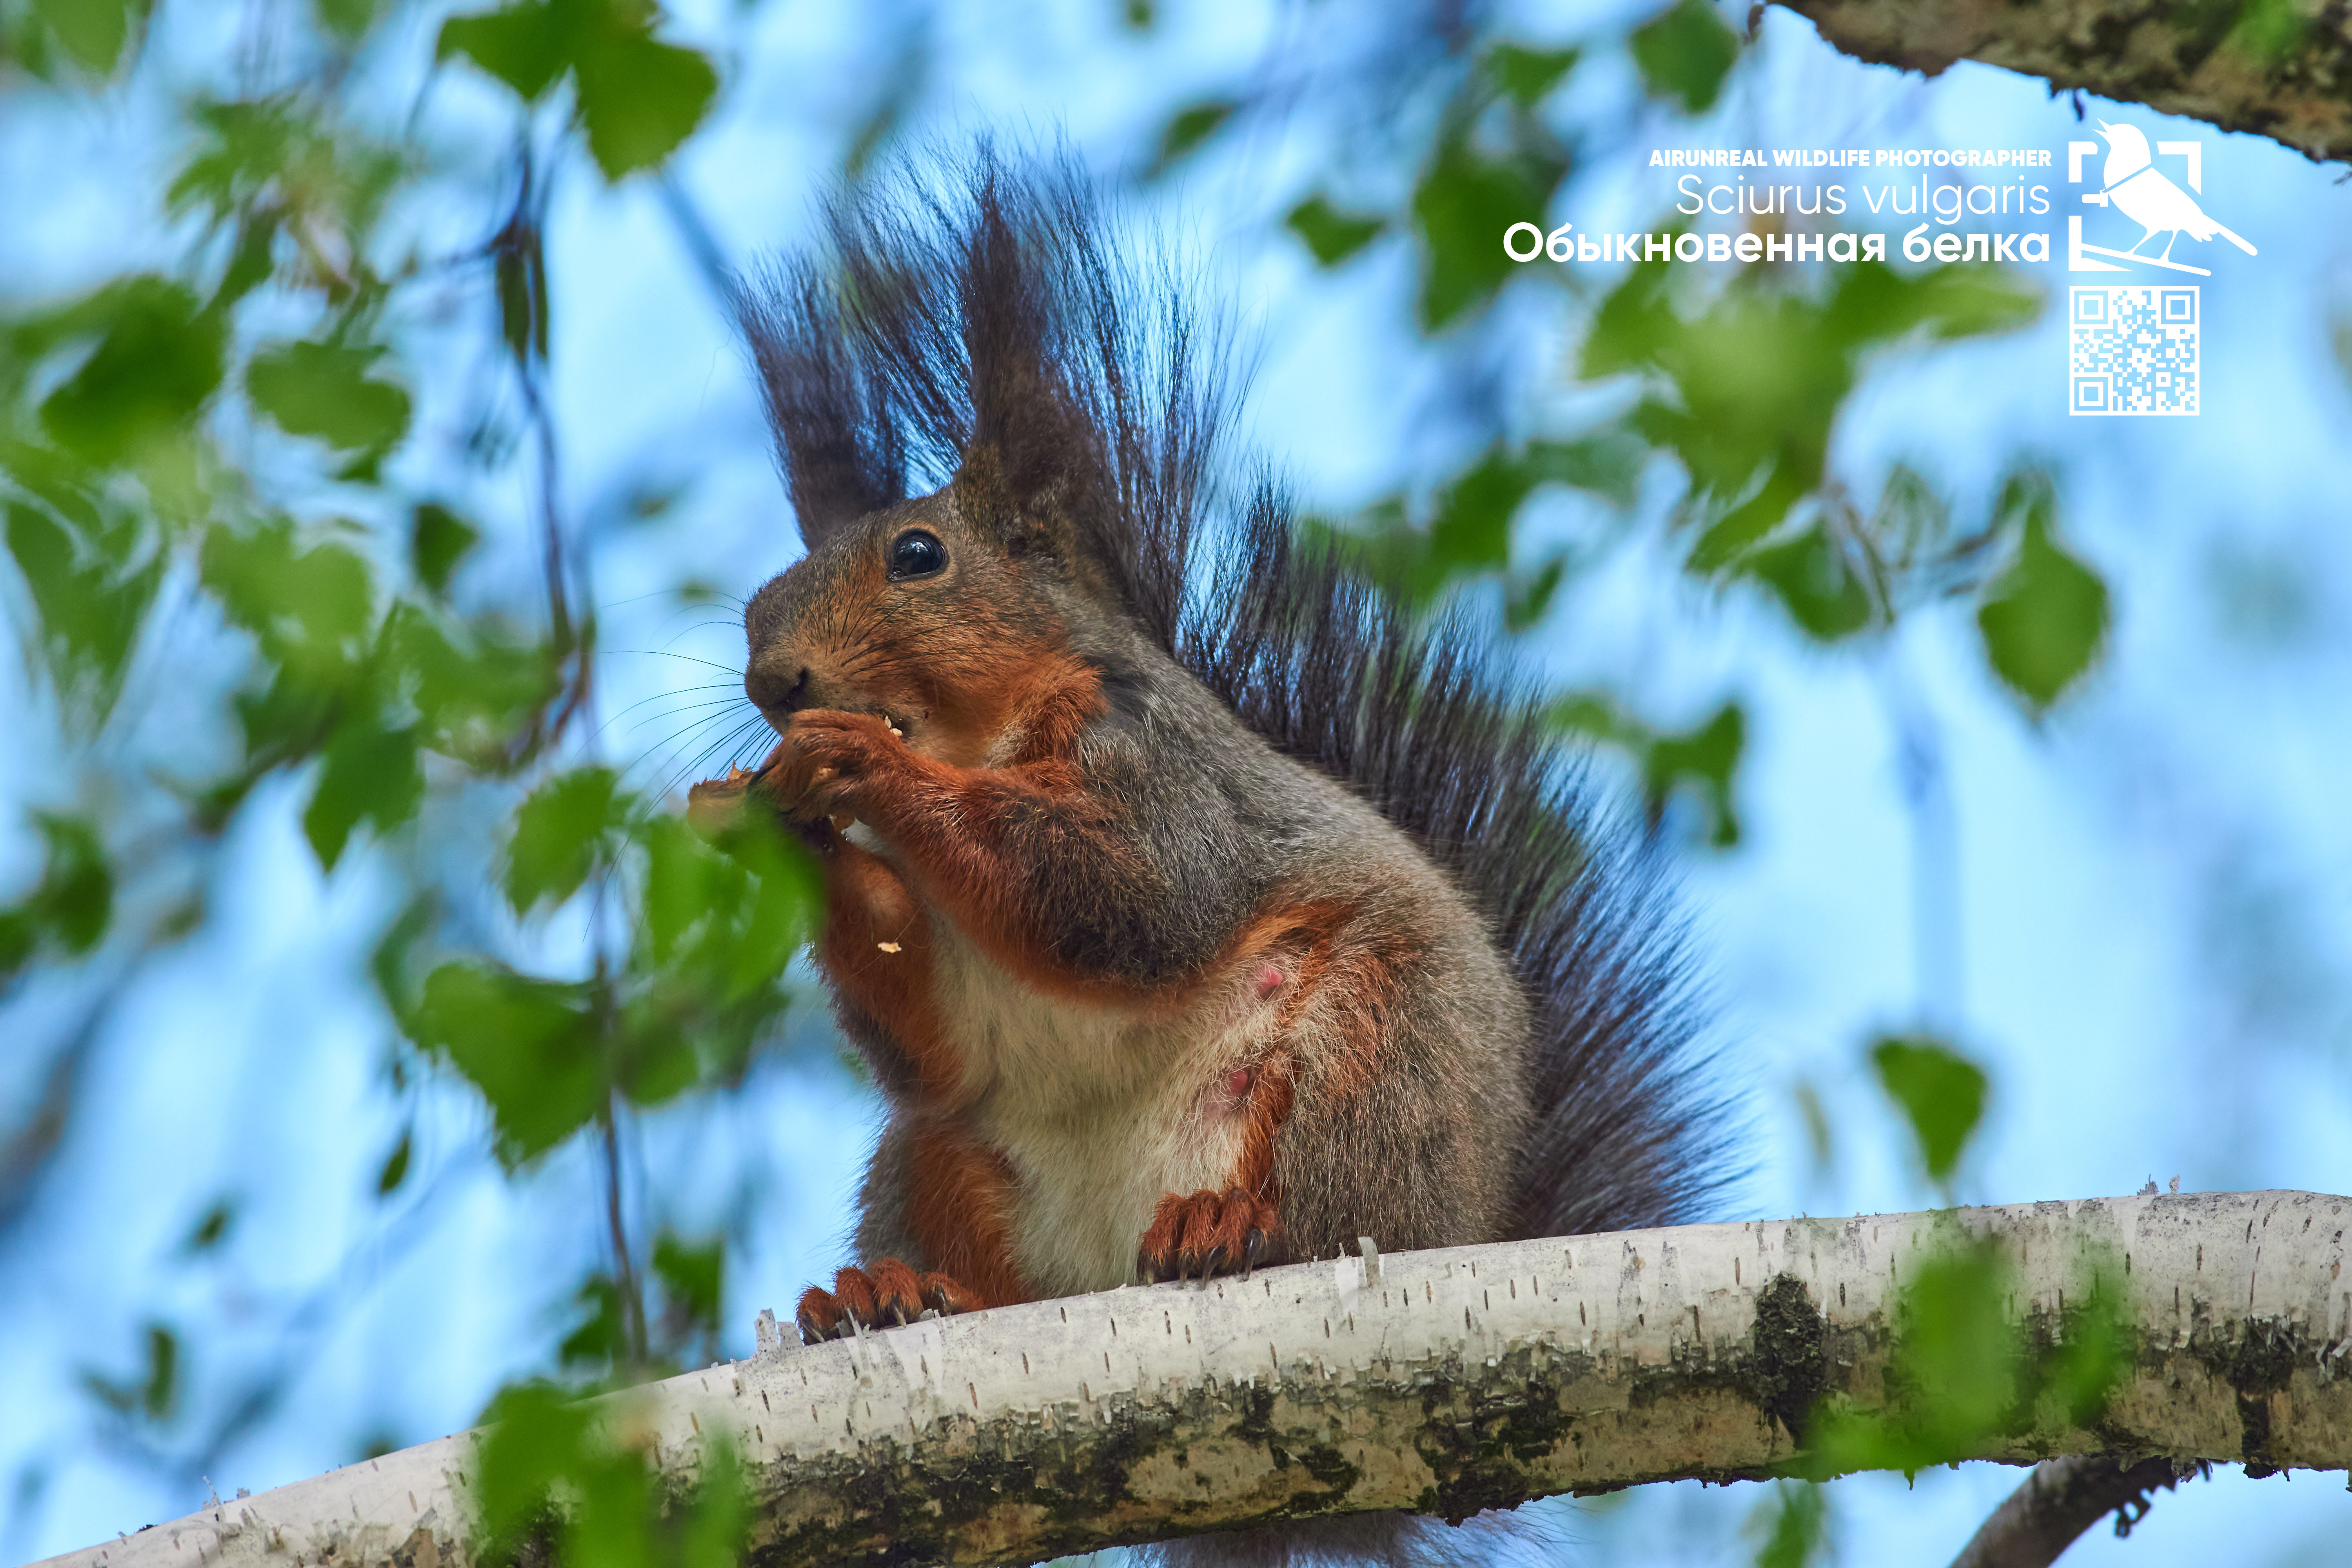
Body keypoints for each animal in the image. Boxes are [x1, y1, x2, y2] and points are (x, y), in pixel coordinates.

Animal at [687, 147, 1722, 1561]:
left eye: (919, 556)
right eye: (757, 602)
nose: (772, 681)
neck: (986, 727)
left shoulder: (1158, 768)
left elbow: (1128, 898)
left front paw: (866, 769)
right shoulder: (943, 1023)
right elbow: (927, 1031)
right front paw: (776, 827)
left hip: (1375, 1047)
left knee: (1340, 1205)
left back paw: (1237, 1230)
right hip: (941, 1159)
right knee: (971, 1225)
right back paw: (895, 1291)